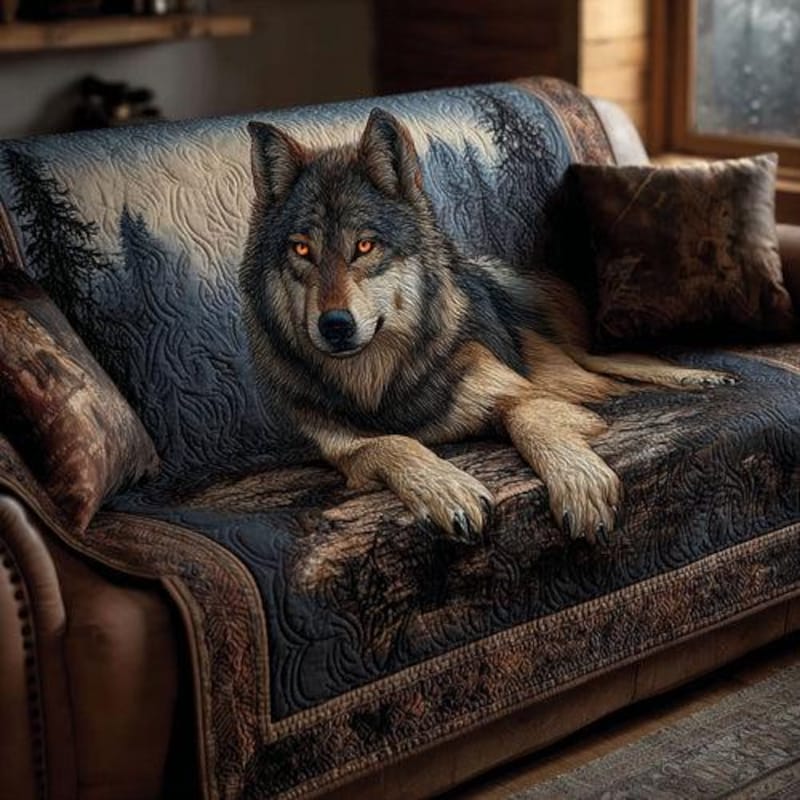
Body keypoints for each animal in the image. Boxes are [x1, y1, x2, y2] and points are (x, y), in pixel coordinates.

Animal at [239, 108, 732, 544]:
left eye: (364, 246)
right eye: (302, 250)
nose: (335, 325)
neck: (378, 383)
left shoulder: (524, 393)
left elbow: (528, 418)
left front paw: (579, 482)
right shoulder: (342, 447)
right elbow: (393, 444)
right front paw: (446, 489)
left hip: (577, 355)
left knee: (622, 363)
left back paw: (702, 377)